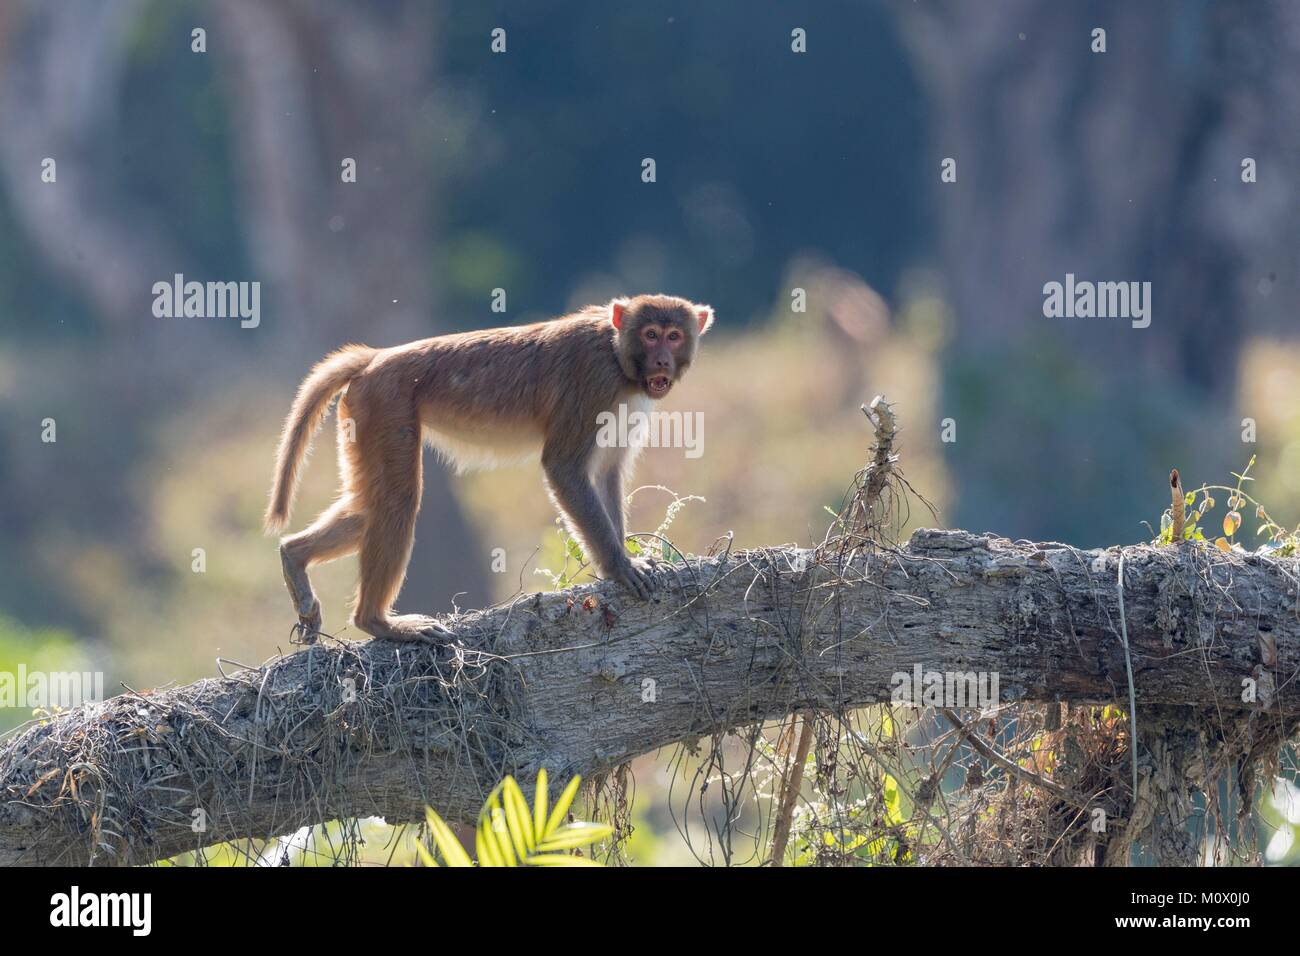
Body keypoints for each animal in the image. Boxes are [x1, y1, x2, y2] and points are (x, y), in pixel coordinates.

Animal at [264, 294, 715, 643]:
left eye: (674, 336)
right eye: (651, 334)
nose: (662, 361)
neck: (618, 353)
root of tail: (377, 357)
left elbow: (607, 472)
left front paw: (621, 560)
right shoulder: (594, 383)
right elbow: (564, 467)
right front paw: (618, 566)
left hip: (363, 415)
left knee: (370, 506)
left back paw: (294, 556)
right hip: (384, 403)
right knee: (396, 501)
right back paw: (376, 621)